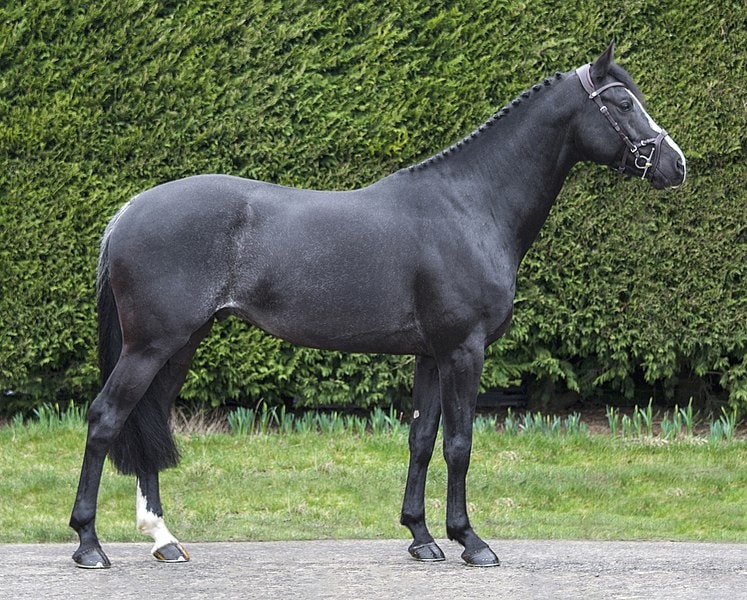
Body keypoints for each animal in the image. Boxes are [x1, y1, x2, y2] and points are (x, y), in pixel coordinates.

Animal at [69, 42, 686, 569]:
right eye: (623, 103)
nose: (676, 165)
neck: (470, 205)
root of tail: (128, 212)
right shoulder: (464, 351)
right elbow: (459, 444)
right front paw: (471, 541)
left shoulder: (431, 355)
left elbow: (421, 440)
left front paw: (422, 537)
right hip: (150, 346)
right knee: (105, 418)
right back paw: (89, 545)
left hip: (178, 347)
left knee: (148, 422)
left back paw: (164, 540)